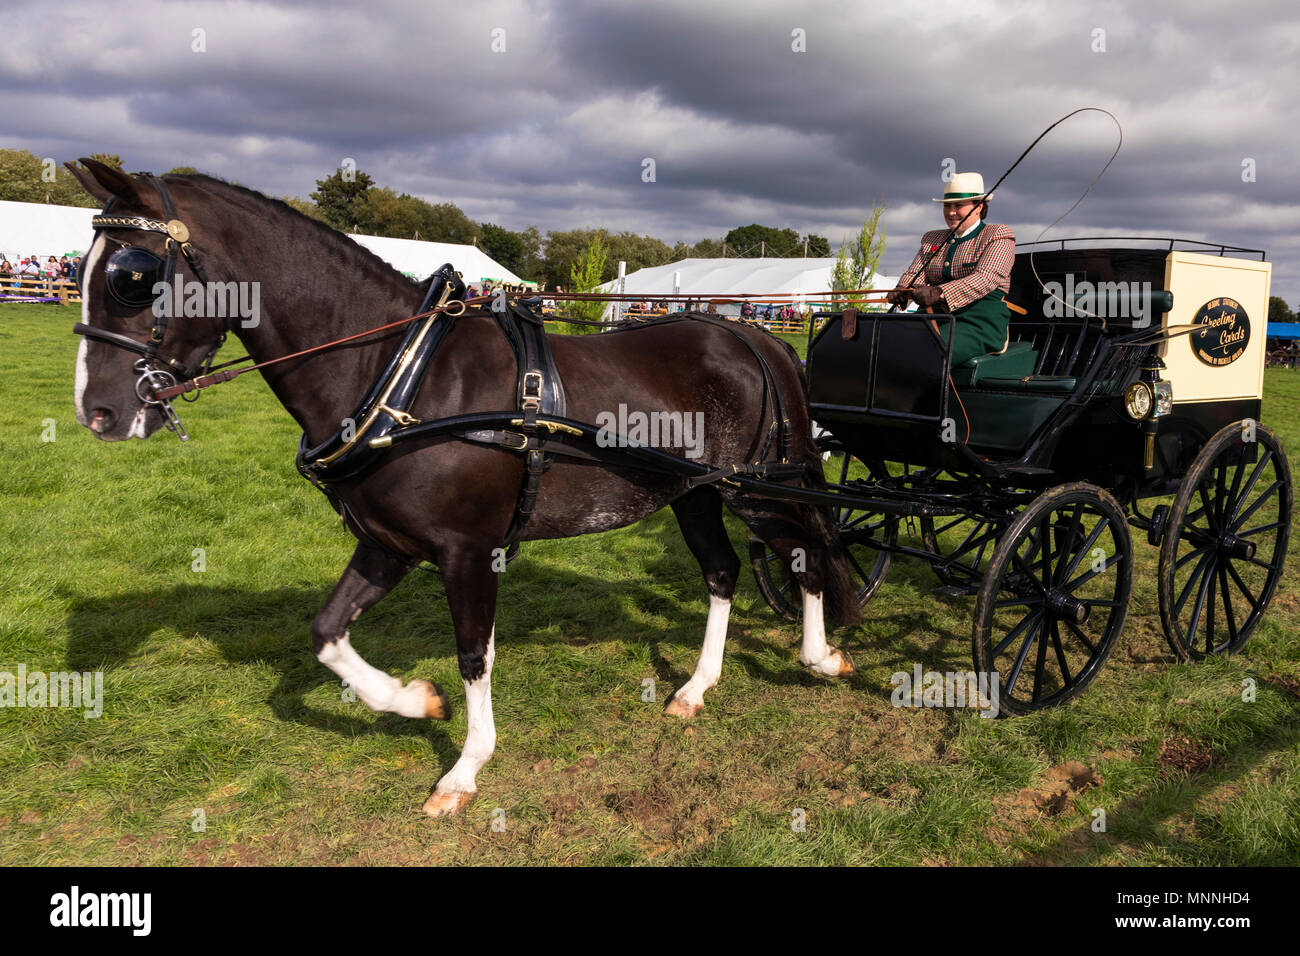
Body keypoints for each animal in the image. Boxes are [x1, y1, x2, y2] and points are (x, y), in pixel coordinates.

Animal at [66, 158, 860, 817]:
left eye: (130, 275)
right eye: (86, 270)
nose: (95, 411)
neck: (398, 374)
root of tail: (752, 338)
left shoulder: (468, 550)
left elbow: (475, 652)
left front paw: (465, 768)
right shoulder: (388, 544)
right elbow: (327, 634)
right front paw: (416, 702)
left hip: (755, 490)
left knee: (809, 551)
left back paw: (820, 655)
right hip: (695, 494)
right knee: (725, 572)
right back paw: (698, 687)